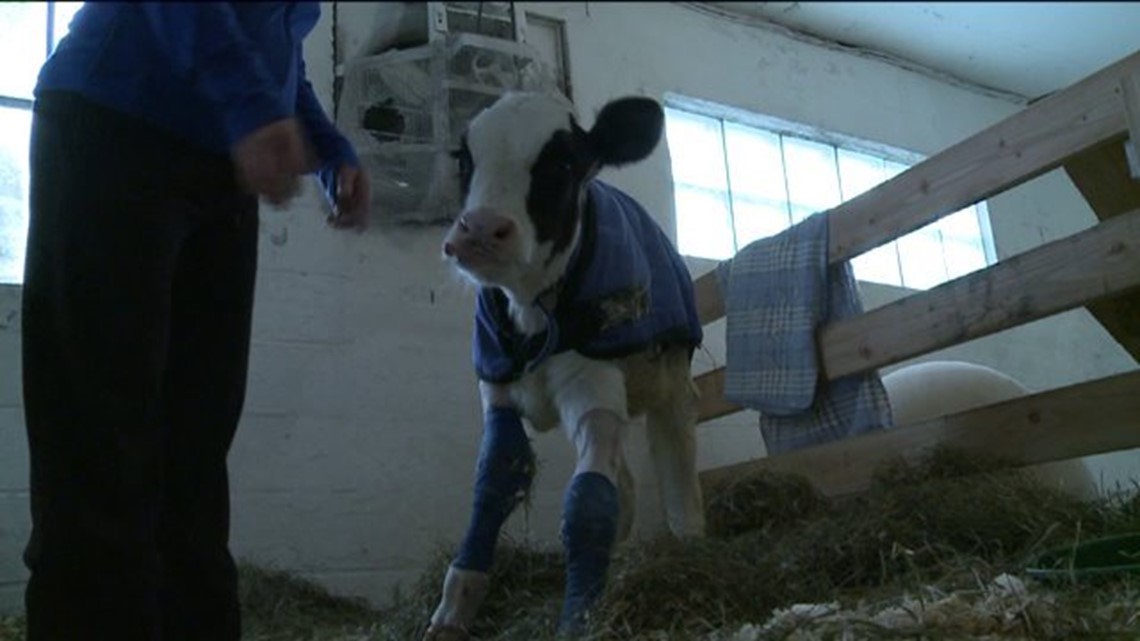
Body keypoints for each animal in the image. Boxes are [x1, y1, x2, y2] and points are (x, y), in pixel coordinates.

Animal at [426, 92, 706, 639]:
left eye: (563, 163)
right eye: (465, 158)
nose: (480, 231)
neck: (530, 307)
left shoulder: (593, 388)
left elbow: (586, 504)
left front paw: (579, 618)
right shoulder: (497, 388)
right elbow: (493, 484)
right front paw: (452, 611)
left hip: (672, 385)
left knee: (675, 463)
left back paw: (689, 545)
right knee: (626, 484)